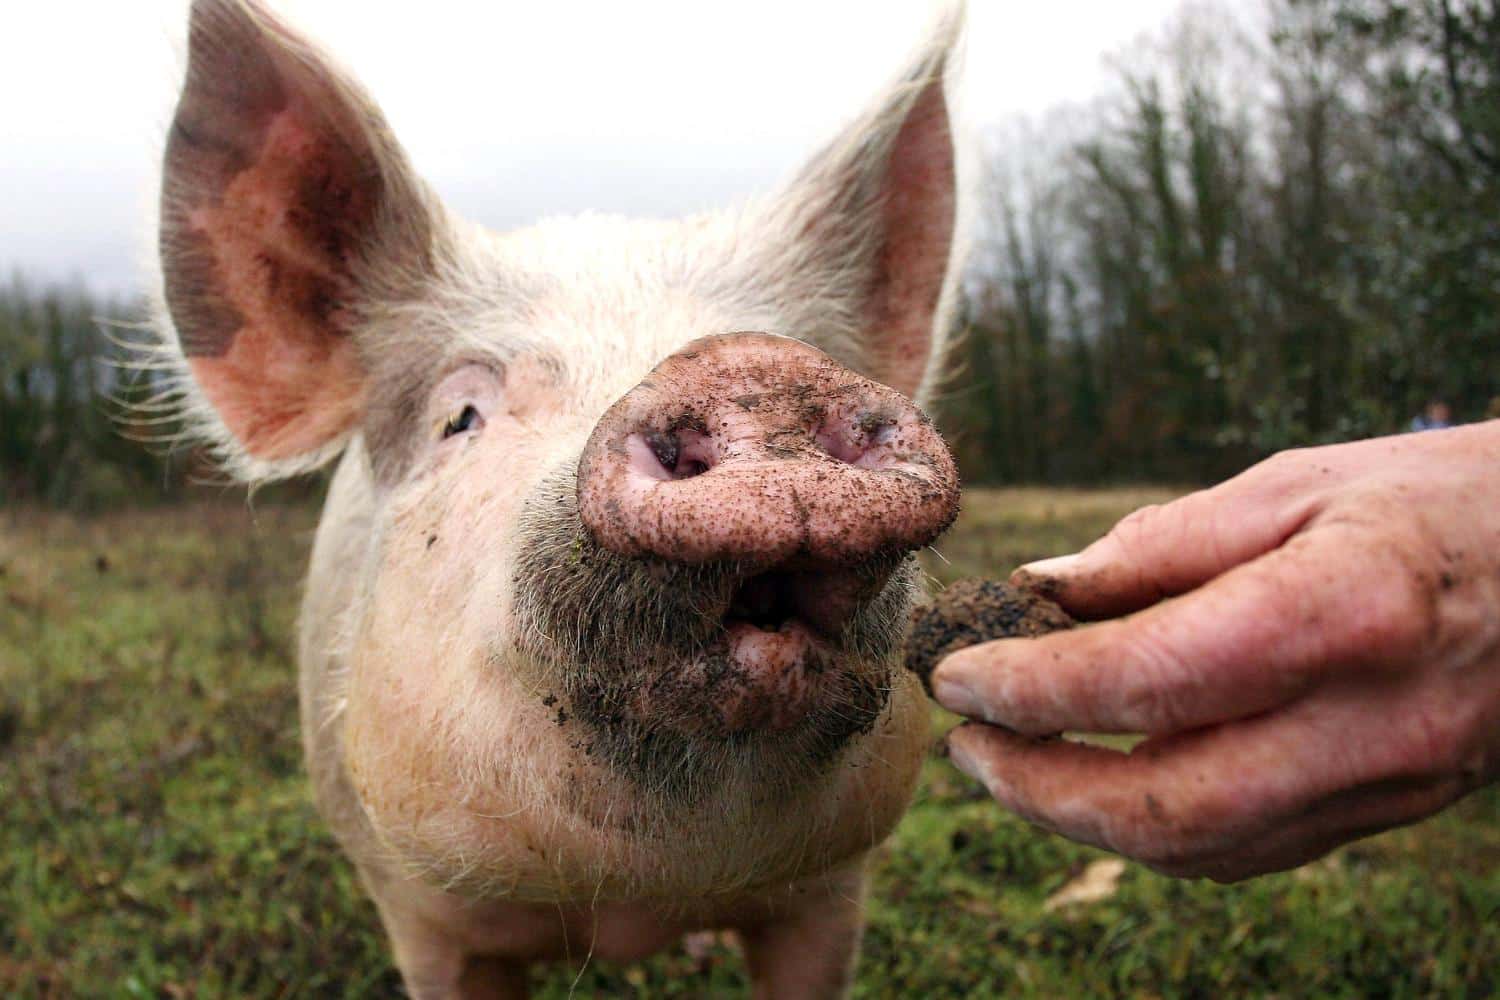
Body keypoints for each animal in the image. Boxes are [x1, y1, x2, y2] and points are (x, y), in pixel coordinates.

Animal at [149, 0, 968, 995]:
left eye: (800, 348)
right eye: (459, 415)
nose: (746, 363)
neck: (624, 908)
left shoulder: (827, 897)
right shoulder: (422, 919)